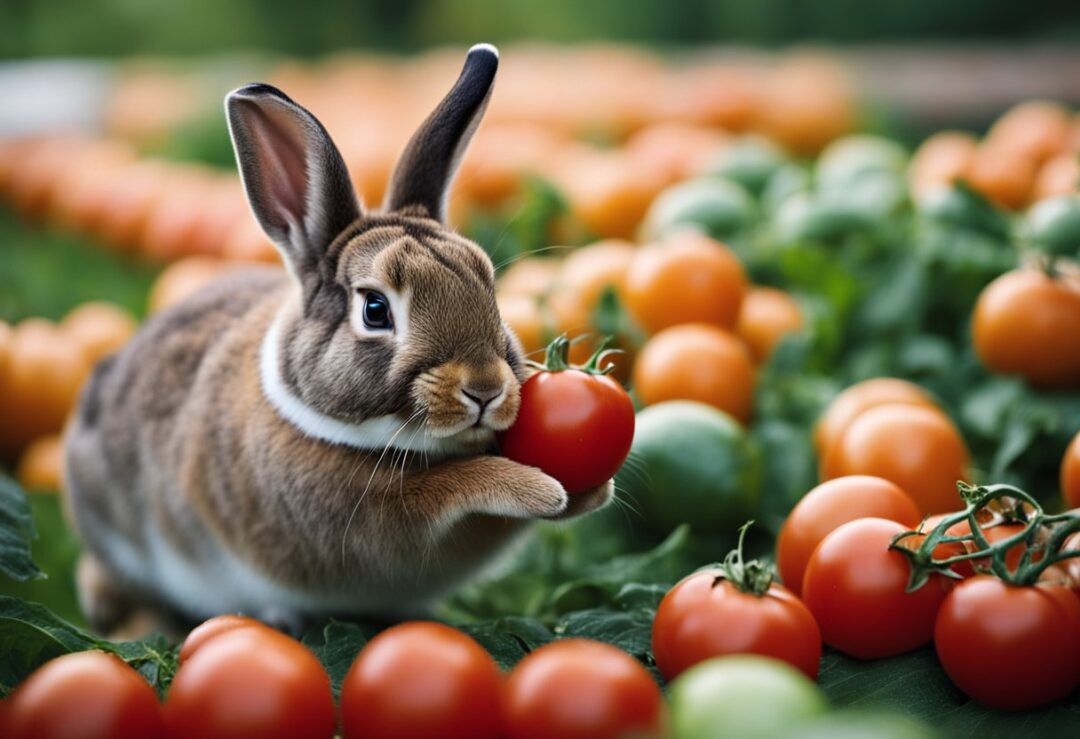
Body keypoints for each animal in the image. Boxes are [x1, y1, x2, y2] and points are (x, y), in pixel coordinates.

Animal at [63, 43, 613, 637]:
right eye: (375, 310)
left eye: (489, 286)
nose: (485, 389)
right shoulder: (374, 514)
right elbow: (450, 486)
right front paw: (537, 488)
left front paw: (586, 490)